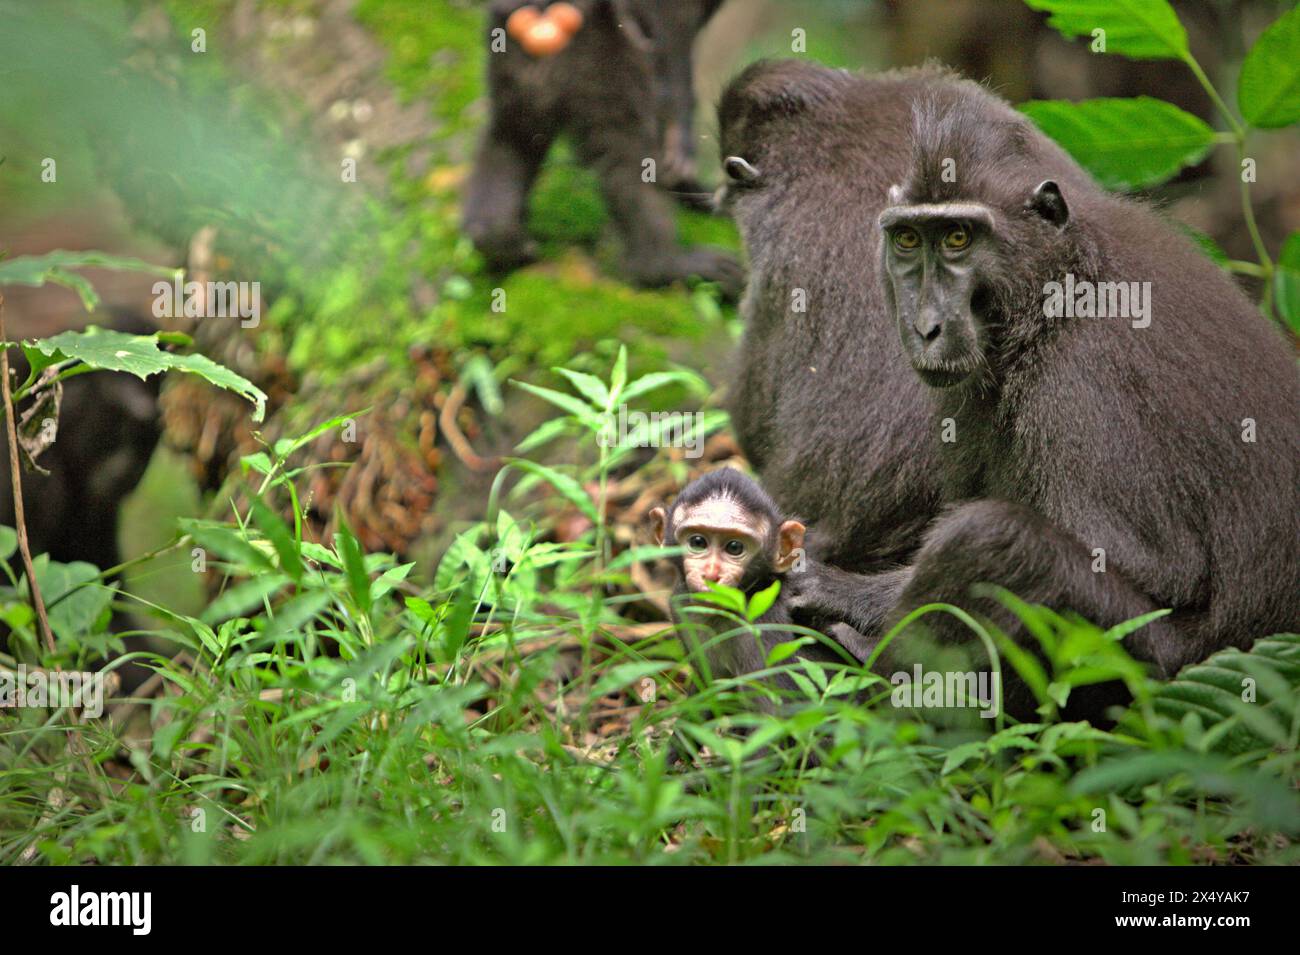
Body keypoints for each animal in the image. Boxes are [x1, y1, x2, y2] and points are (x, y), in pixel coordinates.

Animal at [463, 0, 744, 298]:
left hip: (517, 68)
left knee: (508, 138)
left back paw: (494, 237)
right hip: (603, 64)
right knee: (629, 160)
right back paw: (664, 264)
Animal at [780, 74, 1300, 720]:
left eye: (958, 237)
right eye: (907, 239)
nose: (924, 327)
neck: (1062, 285)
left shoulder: (1085, 380)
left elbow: (1151, 569)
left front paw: (848, 593)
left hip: (1153, 667)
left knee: (996, 541)